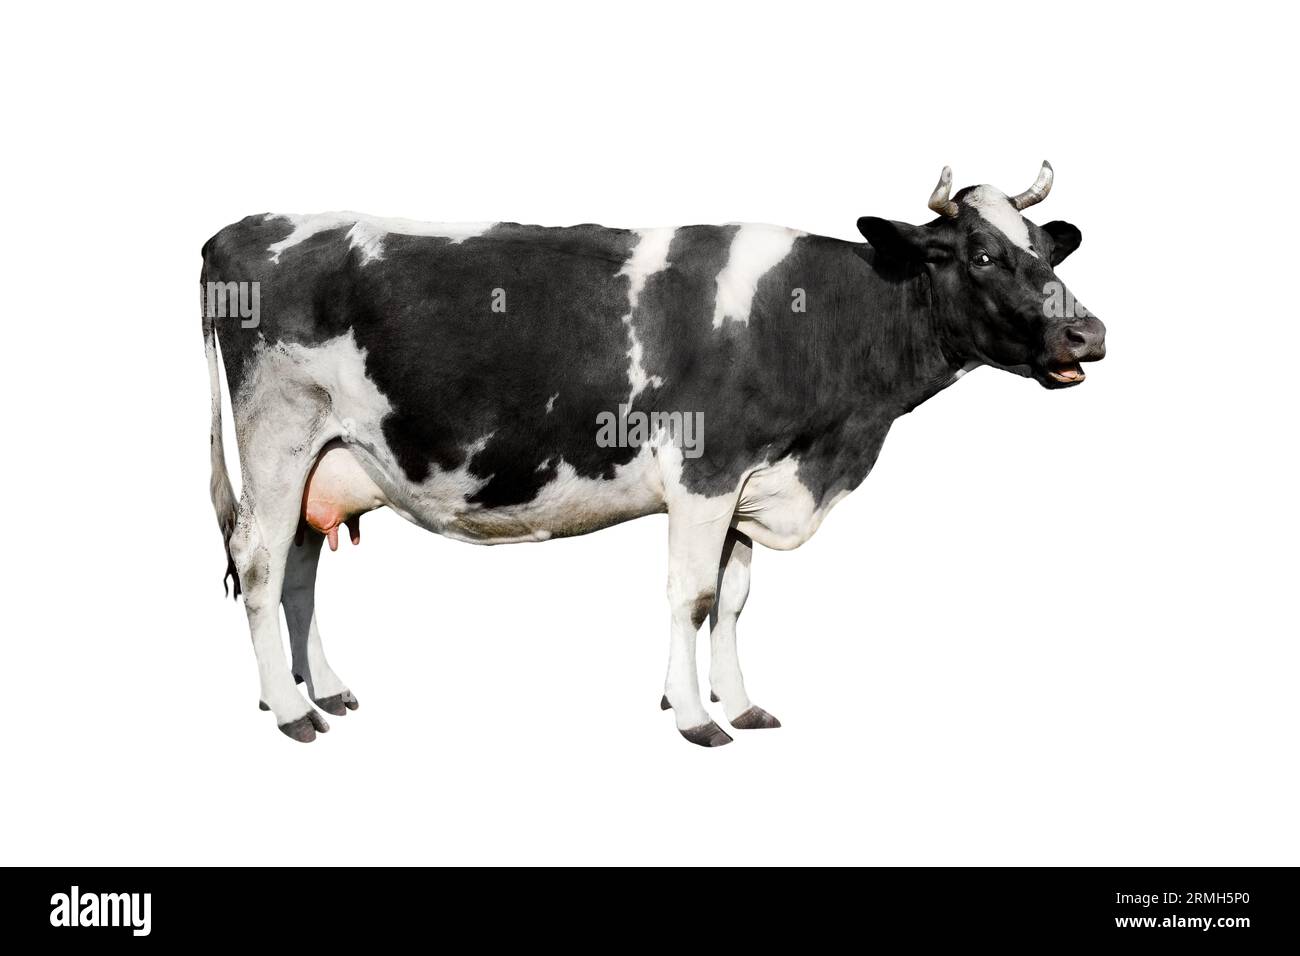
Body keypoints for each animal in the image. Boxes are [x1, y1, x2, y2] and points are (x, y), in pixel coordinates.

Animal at [201, 162, 1106, 747]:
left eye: (1046, 250)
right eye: (981, 253)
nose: (1087, 333)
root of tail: (238, 230)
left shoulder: (750, 484)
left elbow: (735, 602)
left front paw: (740, 703)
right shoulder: (706, 471)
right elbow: (694, 598)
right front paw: (696, 717)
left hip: (325, 458)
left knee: (300, 568)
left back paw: (321, 689)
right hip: (276, 435)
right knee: (260, 561)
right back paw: (291, 711)